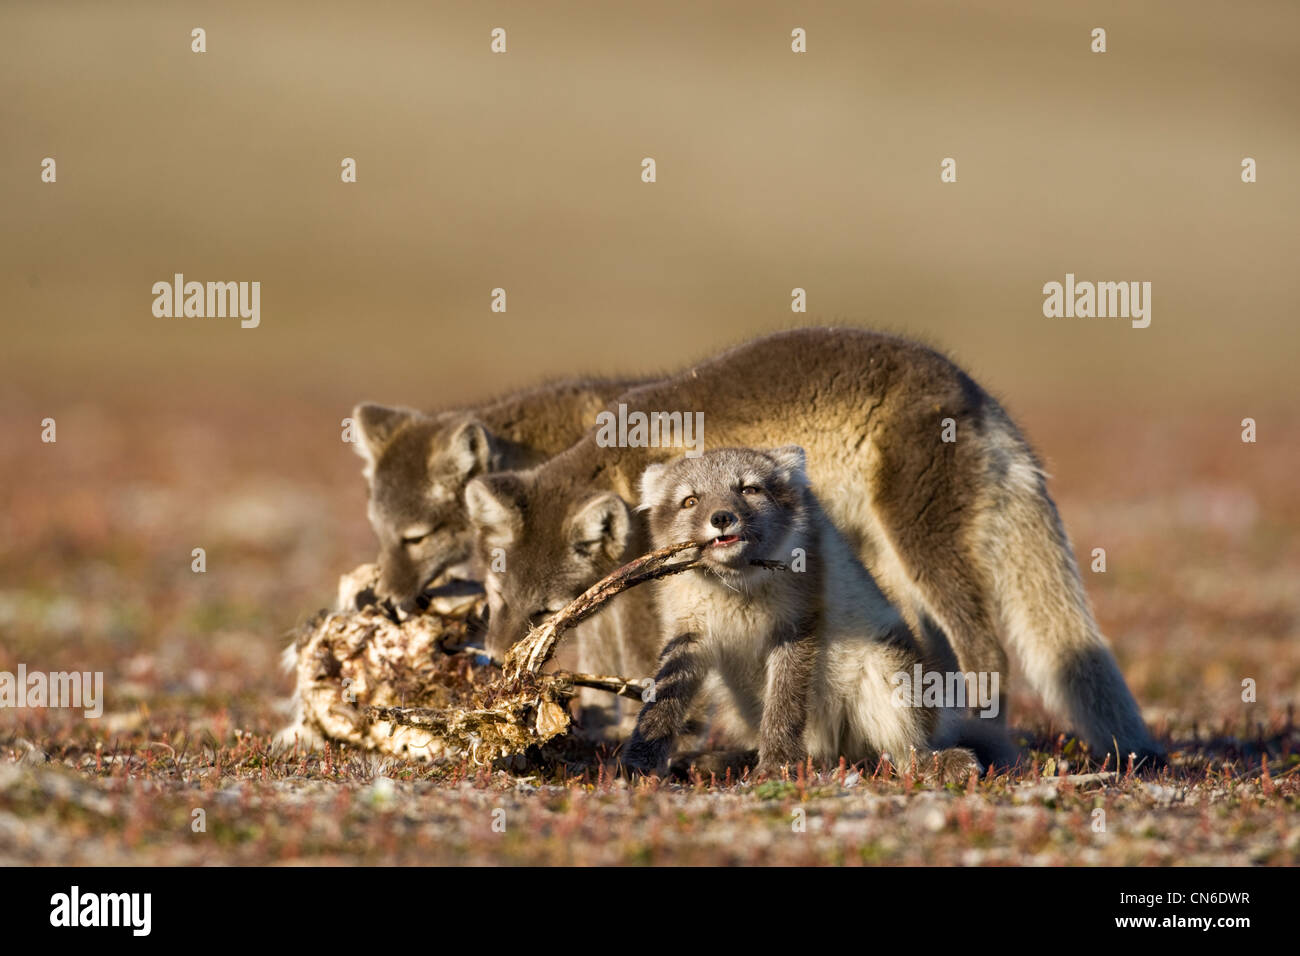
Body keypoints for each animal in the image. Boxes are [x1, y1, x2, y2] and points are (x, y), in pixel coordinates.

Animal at [622, 446, 986, 778]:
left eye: (749, 489)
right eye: (690, 501)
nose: (722, 518)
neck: (736, 588)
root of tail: (833, 751)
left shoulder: (796, 625)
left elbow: (784, 704)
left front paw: (777, 764)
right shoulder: (689, 633)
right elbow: (662, 699)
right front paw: (639, 762)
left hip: (889, 668)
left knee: (905, 752)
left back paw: (937, 762)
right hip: (736, 703)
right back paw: (719, 761)